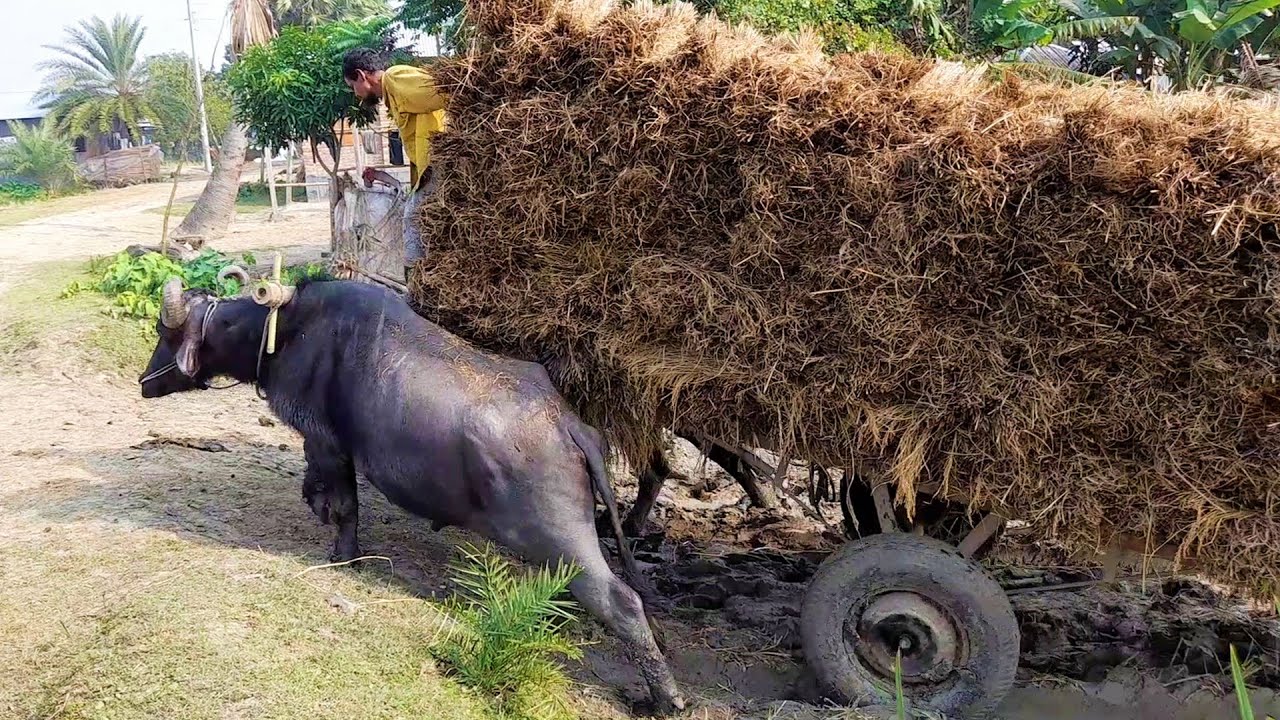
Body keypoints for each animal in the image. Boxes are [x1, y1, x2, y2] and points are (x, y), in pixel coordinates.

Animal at [138, 272, 684, 714]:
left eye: (167, 332)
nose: (144, 382)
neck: (286, 331)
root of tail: (571, 425)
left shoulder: (328, 441)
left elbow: (345, 506)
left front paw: (342, 554)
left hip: (561, 540)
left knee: (621, 601)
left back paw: (664, 700)